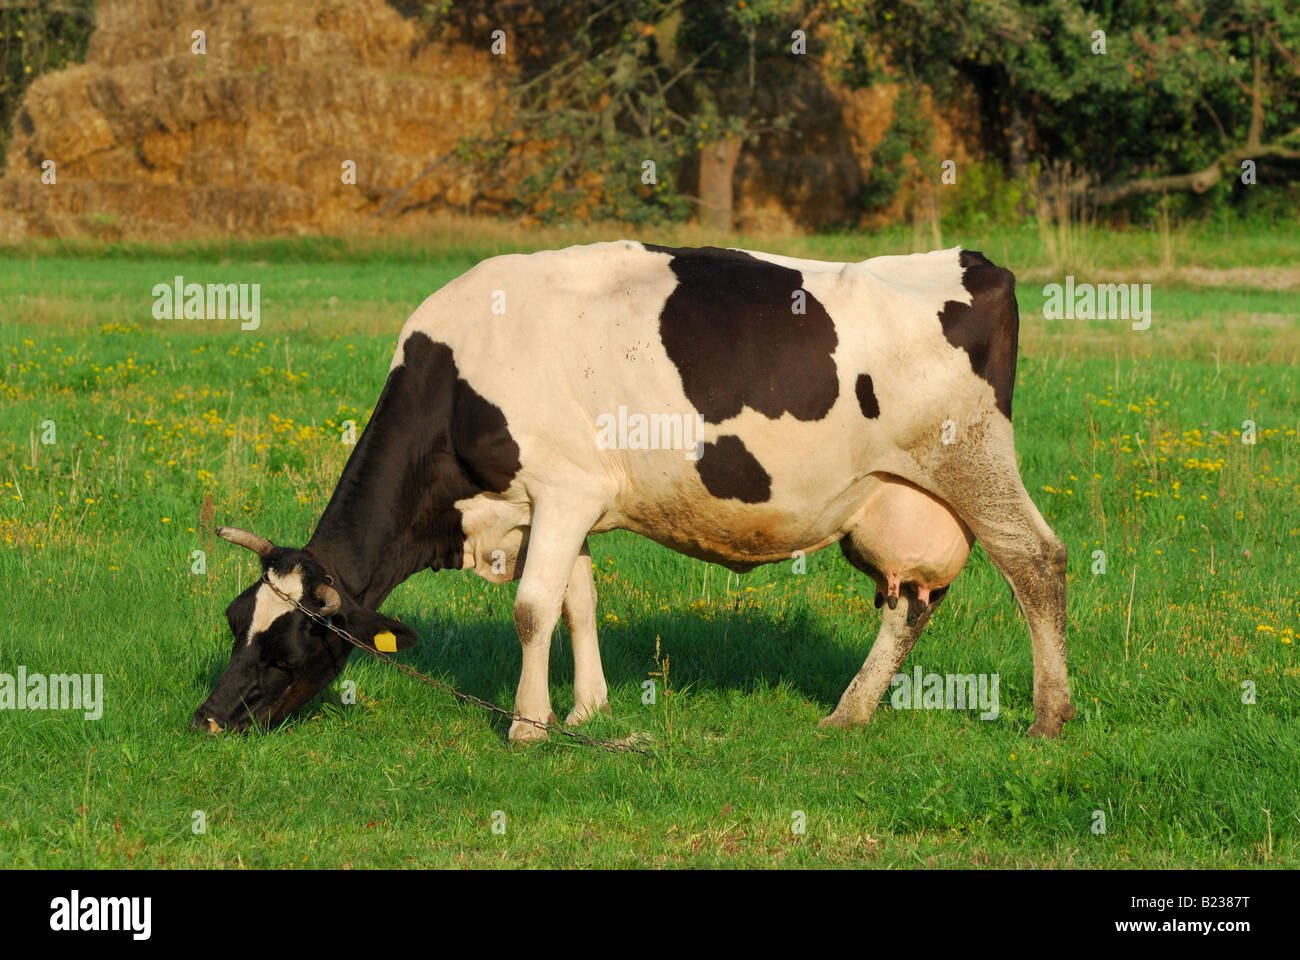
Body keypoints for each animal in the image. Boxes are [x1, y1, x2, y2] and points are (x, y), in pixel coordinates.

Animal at [192, 241, 1075, 742]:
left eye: (290, 644)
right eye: (235, 622)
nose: (208, 719)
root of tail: (971, 263)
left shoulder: (561, 488)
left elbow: (532, 607)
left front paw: (530, 724)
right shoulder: (570, 501)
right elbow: (577, 600)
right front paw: (589, 711)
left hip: (973, 463)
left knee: (1037, 564)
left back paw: (1048, 718)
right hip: (894, 503)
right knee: (911, 601)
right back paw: (848, 714)